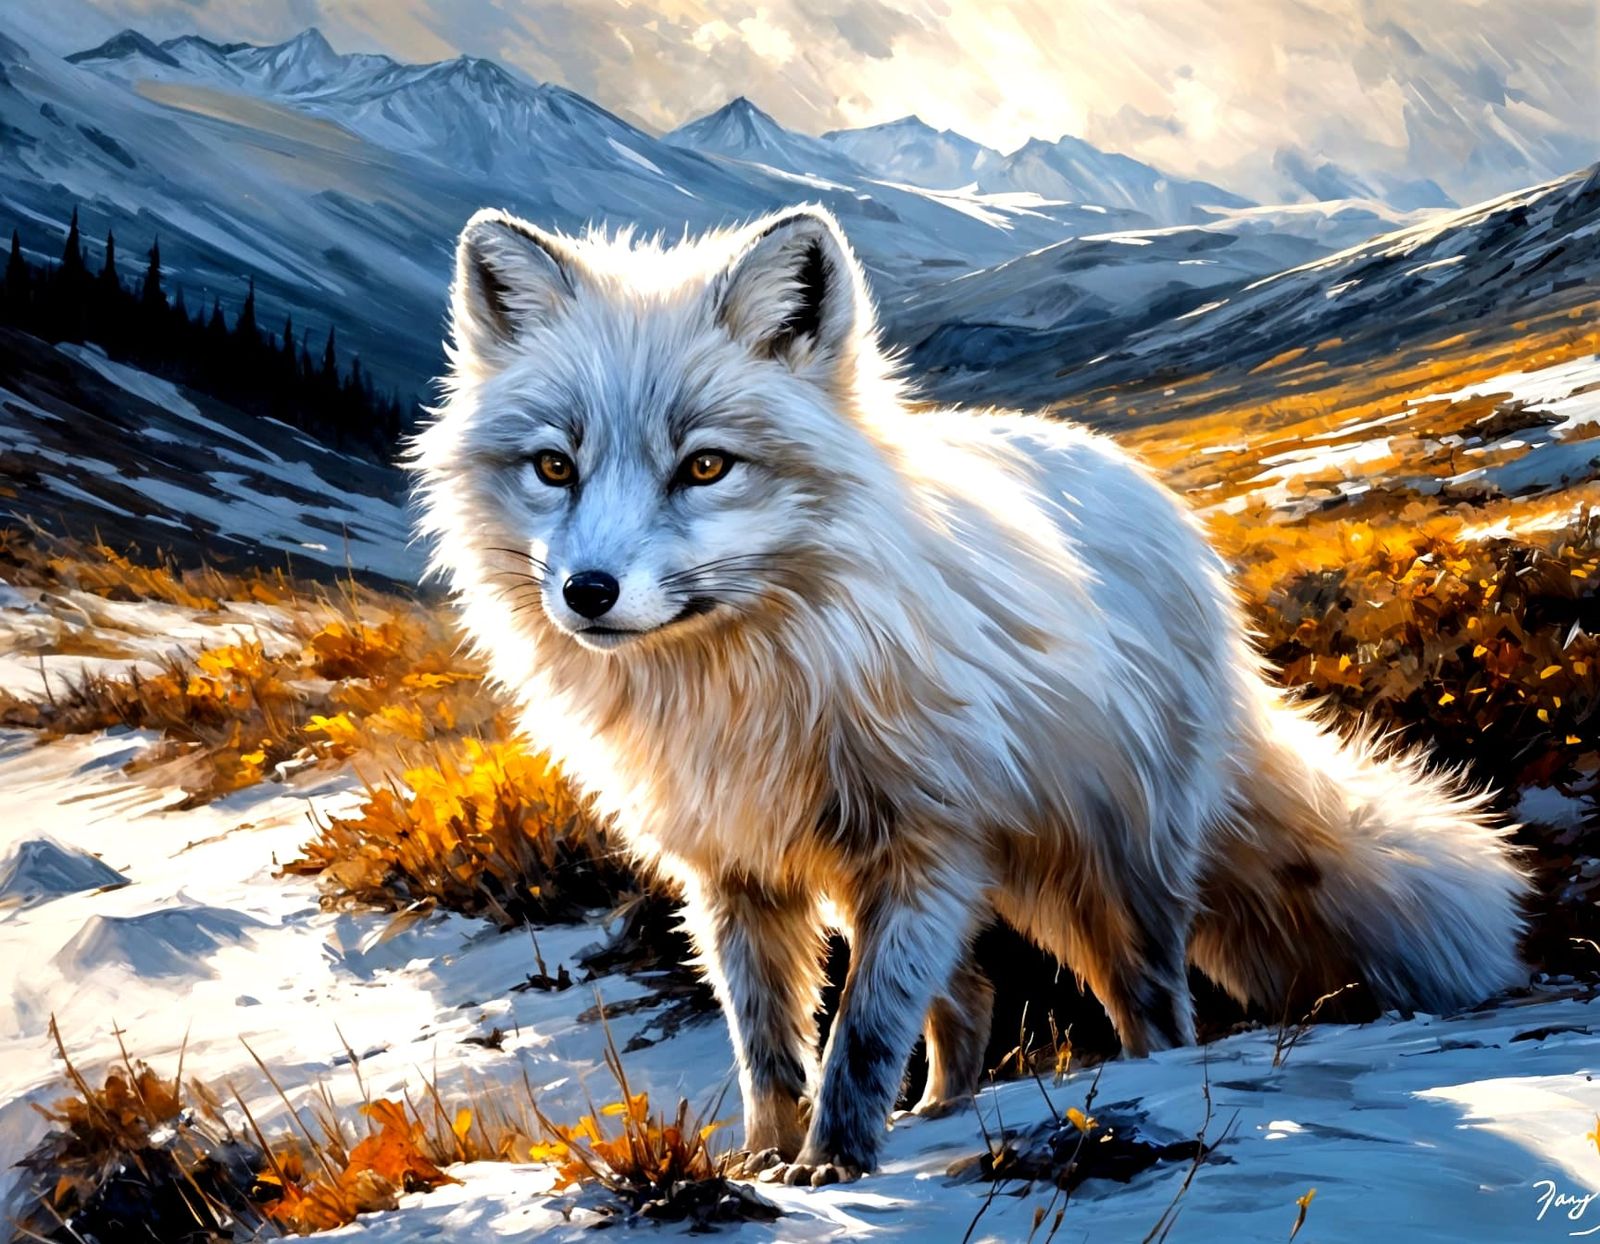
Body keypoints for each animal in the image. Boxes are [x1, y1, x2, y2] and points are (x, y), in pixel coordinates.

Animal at [411, 202, 1529, 1187]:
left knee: (1151, 996)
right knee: (974, 996)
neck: (742, 690)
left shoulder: (922, 847)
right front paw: (768, 1156)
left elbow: (861, 1031)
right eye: (555, 465)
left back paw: (1148, 1078)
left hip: (1109, 870)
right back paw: (943, 1107)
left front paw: (831, 1160)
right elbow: (768, 1042)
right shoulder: (741, 870)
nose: (586, 592)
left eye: (706, 466)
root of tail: (1148, 494)